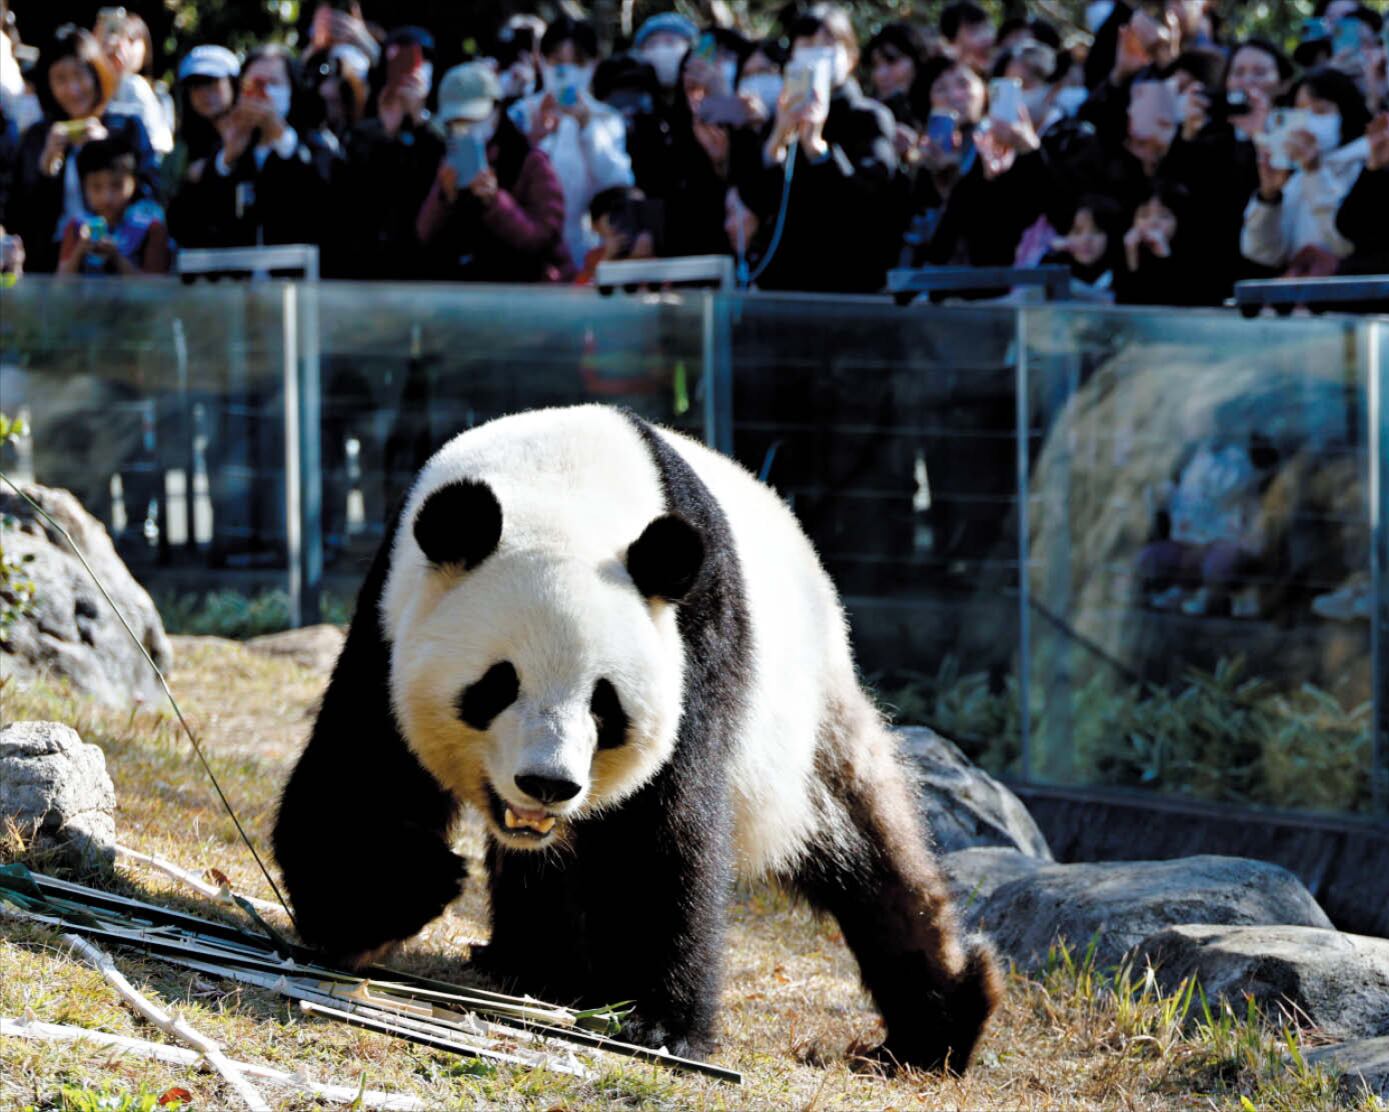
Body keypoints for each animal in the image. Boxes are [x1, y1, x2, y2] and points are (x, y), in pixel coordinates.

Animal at [272, 404, 1000, 1071]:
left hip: (802, 707)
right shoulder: (387, 621)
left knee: (866, 845)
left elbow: (665, 833)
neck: (563, 488)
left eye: (604, 702)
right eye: (497, 684)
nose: (548, 784)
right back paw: (534, 966)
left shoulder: (693, 644)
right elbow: (356, 778)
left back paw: (935, 1029)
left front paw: (659, 1026)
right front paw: (404, 887)